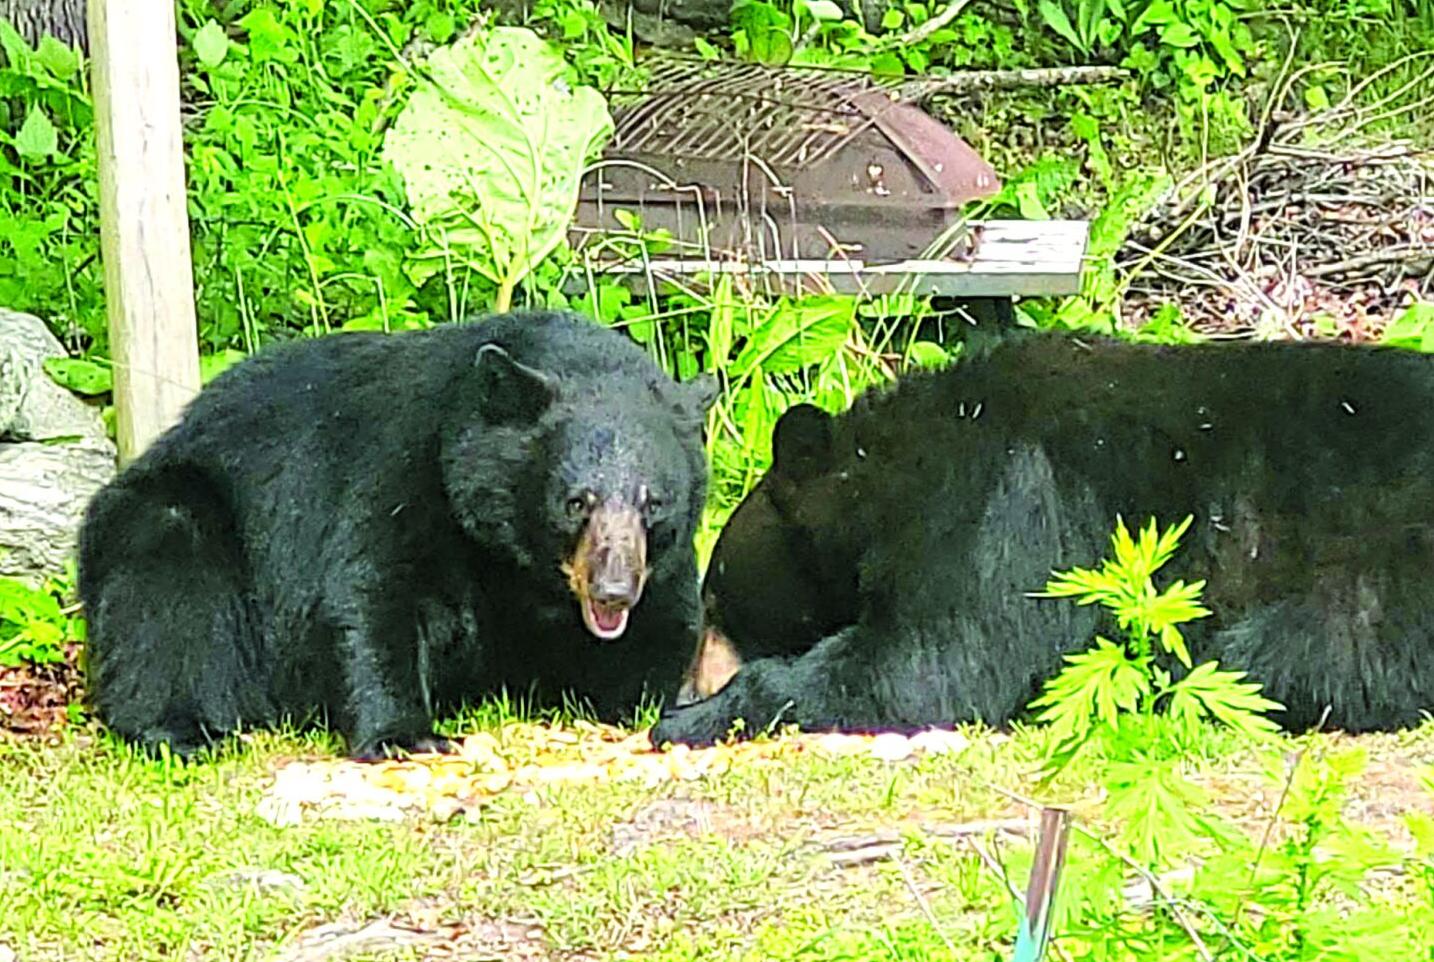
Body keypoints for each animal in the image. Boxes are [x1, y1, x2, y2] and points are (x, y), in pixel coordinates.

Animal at [78, 310, 717, 759]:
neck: (517, 562)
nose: (612, 591)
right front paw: (405, 736)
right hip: (172, 513)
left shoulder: (657, 568)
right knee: (164, 590)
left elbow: (663, 626)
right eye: (575, 501)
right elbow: (375, 590)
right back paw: (182, 729)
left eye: (653, 502)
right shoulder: (407, 468)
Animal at [656, 332, 1434, 747]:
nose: (688, 681)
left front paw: (696, 716)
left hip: (1376, 570)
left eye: (717, 595)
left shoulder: (1004, 496)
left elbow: (940, 658)